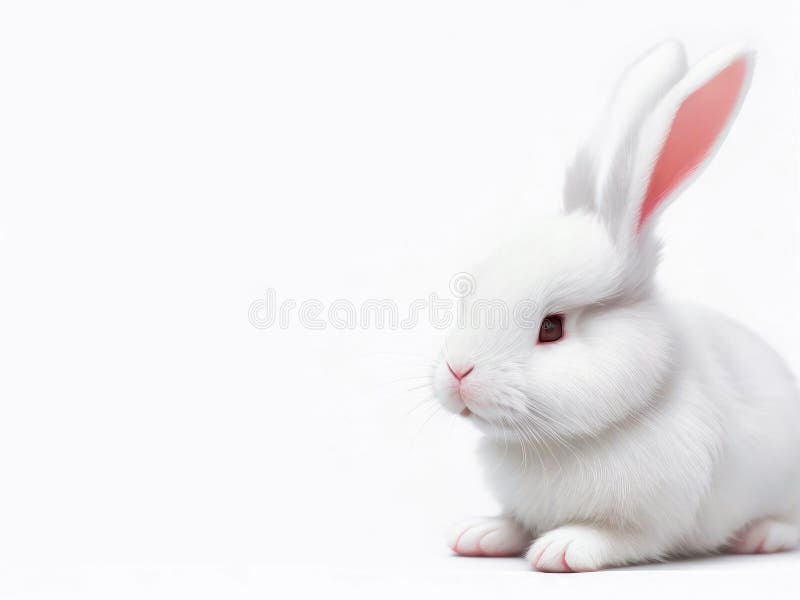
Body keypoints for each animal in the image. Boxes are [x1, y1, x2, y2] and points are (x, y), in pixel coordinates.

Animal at [431, 40, 800, 572]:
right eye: (471, 292)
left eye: (551, 327)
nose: (458, 372)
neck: (555, 444)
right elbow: (514, 521)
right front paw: (478, 534)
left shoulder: (658, 519)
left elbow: (620, 538)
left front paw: (562, 547)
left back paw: (761, 535)